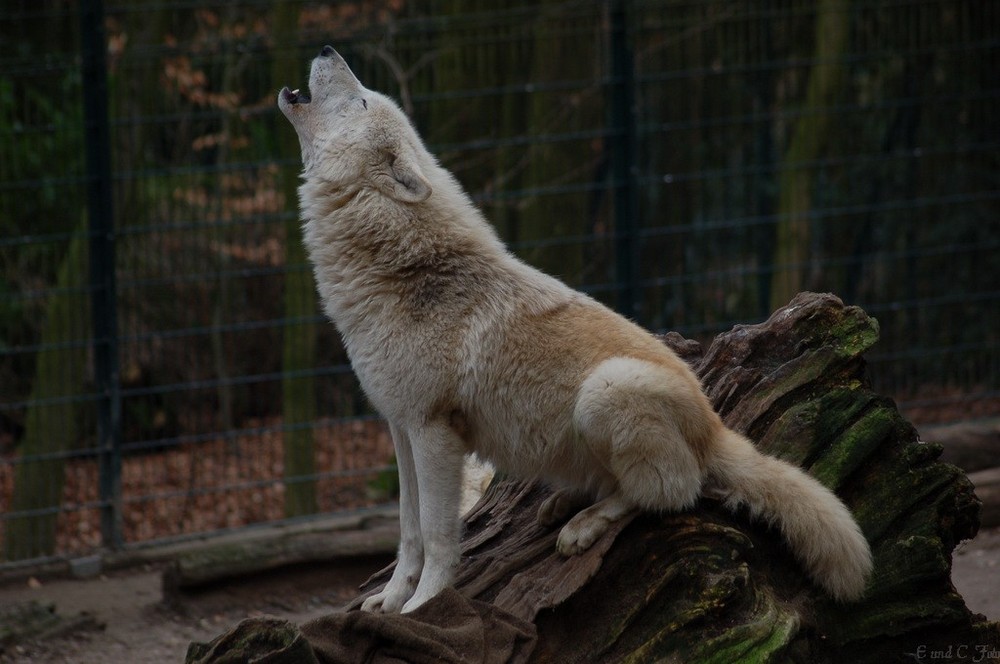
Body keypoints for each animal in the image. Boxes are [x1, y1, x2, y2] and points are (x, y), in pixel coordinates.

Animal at [278, 46, 873, 614]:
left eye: (362, 101)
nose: (328, 49)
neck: (399, 269)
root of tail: (715, 425)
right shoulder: (401, 429)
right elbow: (407, 532)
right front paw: (389, 601)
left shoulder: (435, 433)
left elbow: (439, 536)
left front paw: (424, 607)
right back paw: (565, 504)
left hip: (605, 391)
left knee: (673, 492)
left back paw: (584, 525)